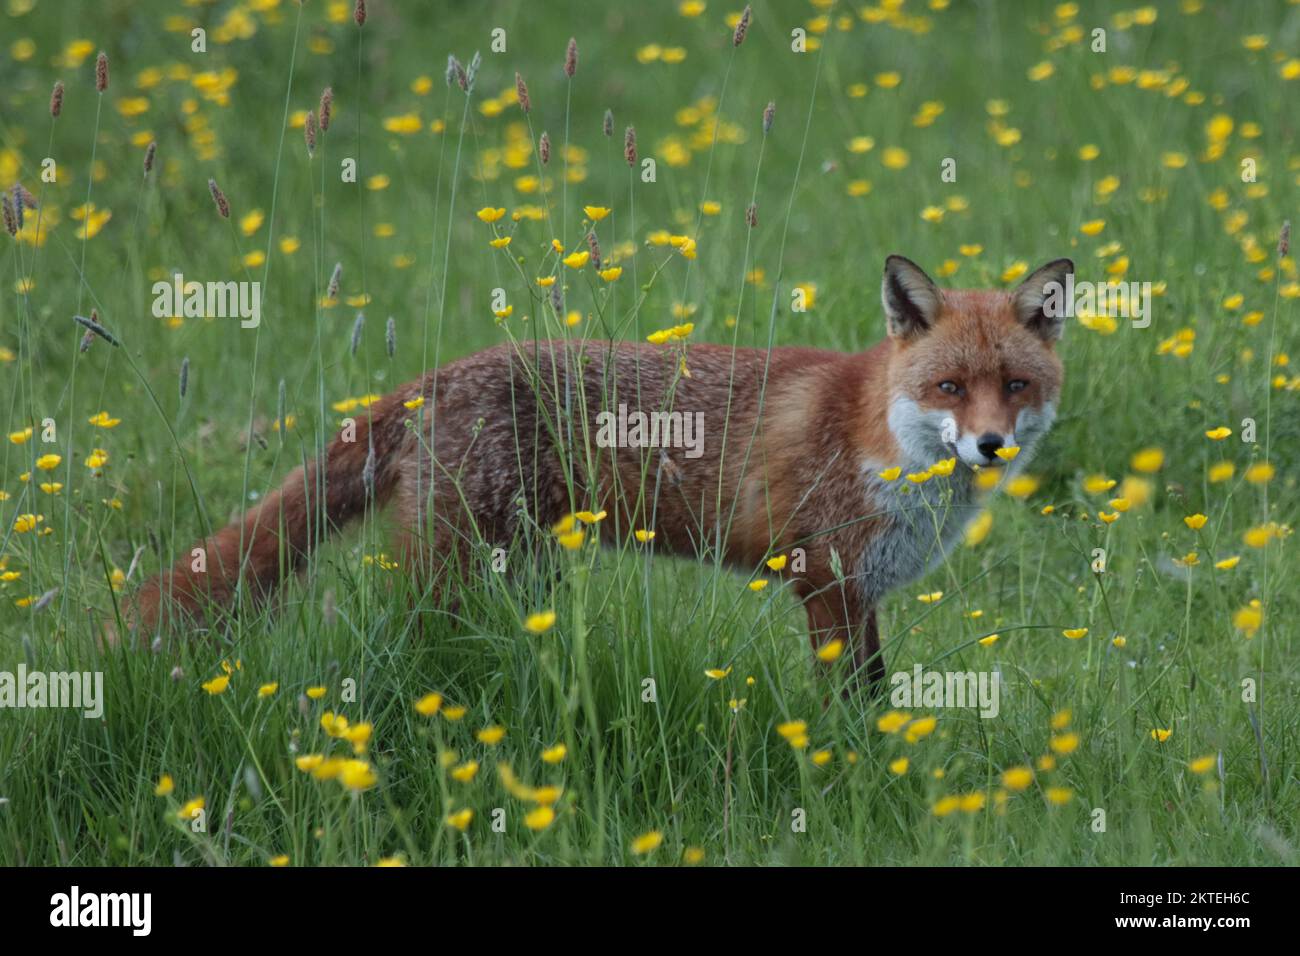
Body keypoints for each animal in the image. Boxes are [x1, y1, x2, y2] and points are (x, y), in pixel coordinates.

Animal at [127, 254, 1072, 691]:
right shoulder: (827, 582)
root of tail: (440, 375)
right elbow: (851, 706)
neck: (882, 443)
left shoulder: (860, 591)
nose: (990, 445)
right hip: (456, 570)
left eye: (1015, 386)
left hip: (521, 565)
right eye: (950, 388)